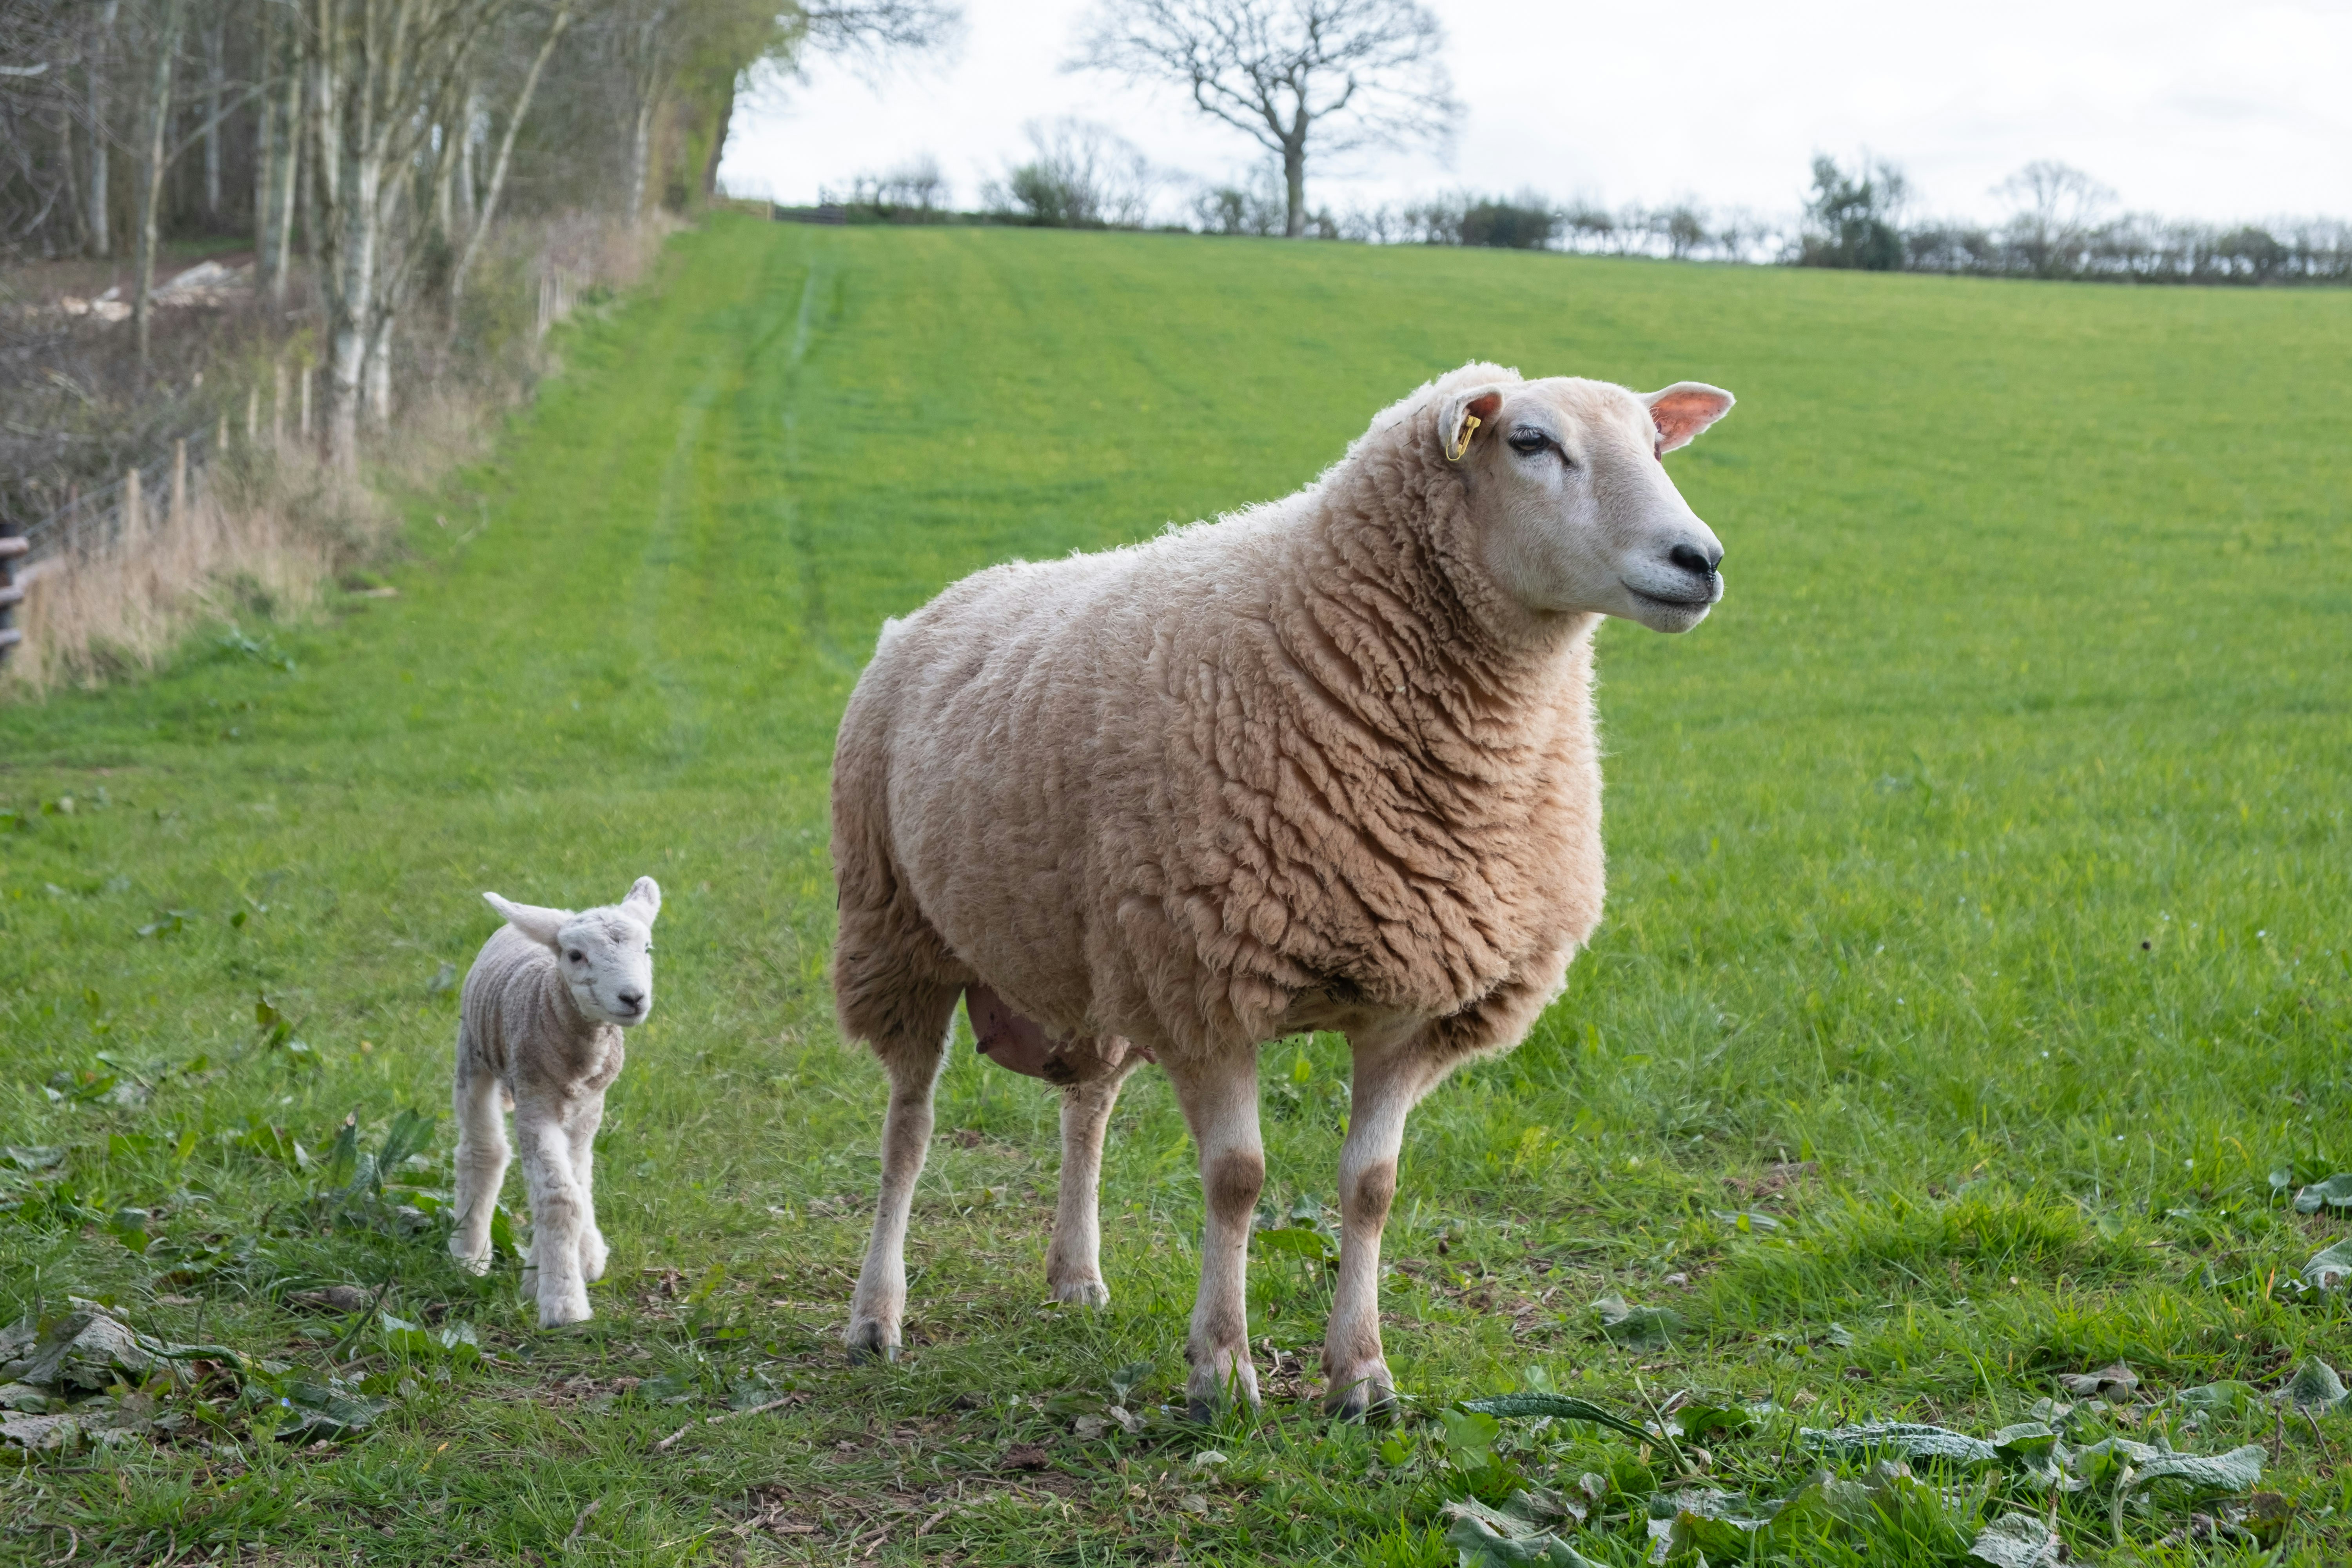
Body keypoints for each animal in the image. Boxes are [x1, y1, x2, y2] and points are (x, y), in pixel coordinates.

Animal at [450, 877, 661, 1327]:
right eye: (576, 955)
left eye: (648, 948)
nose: (633, 998)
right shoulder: (535, 1102)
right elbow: (560, 1199)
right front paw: (563, 1304)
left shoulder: (589, 1105)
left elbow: (576, 1185)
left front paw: (552, 1272)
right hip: (473, 1053)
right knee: (482, 1151)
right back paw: (468, 1255)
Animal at [830, 363, 1735, 1417]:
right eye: (1531, 443)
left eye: (1657, 443)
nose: (1701, 558)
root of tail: (955, 592)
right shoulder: (1206, 982)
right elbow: (1237, 1178)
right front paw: (1221, 1369)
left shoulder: (1409, 998)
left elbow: (1372, 1184)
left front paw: (1363, 1375)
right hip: (895, 928)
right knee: (909, 1127)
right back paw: (875, 1315)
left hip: (1095, 957)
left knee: (1087, 1107)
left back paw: (1076, 1275)